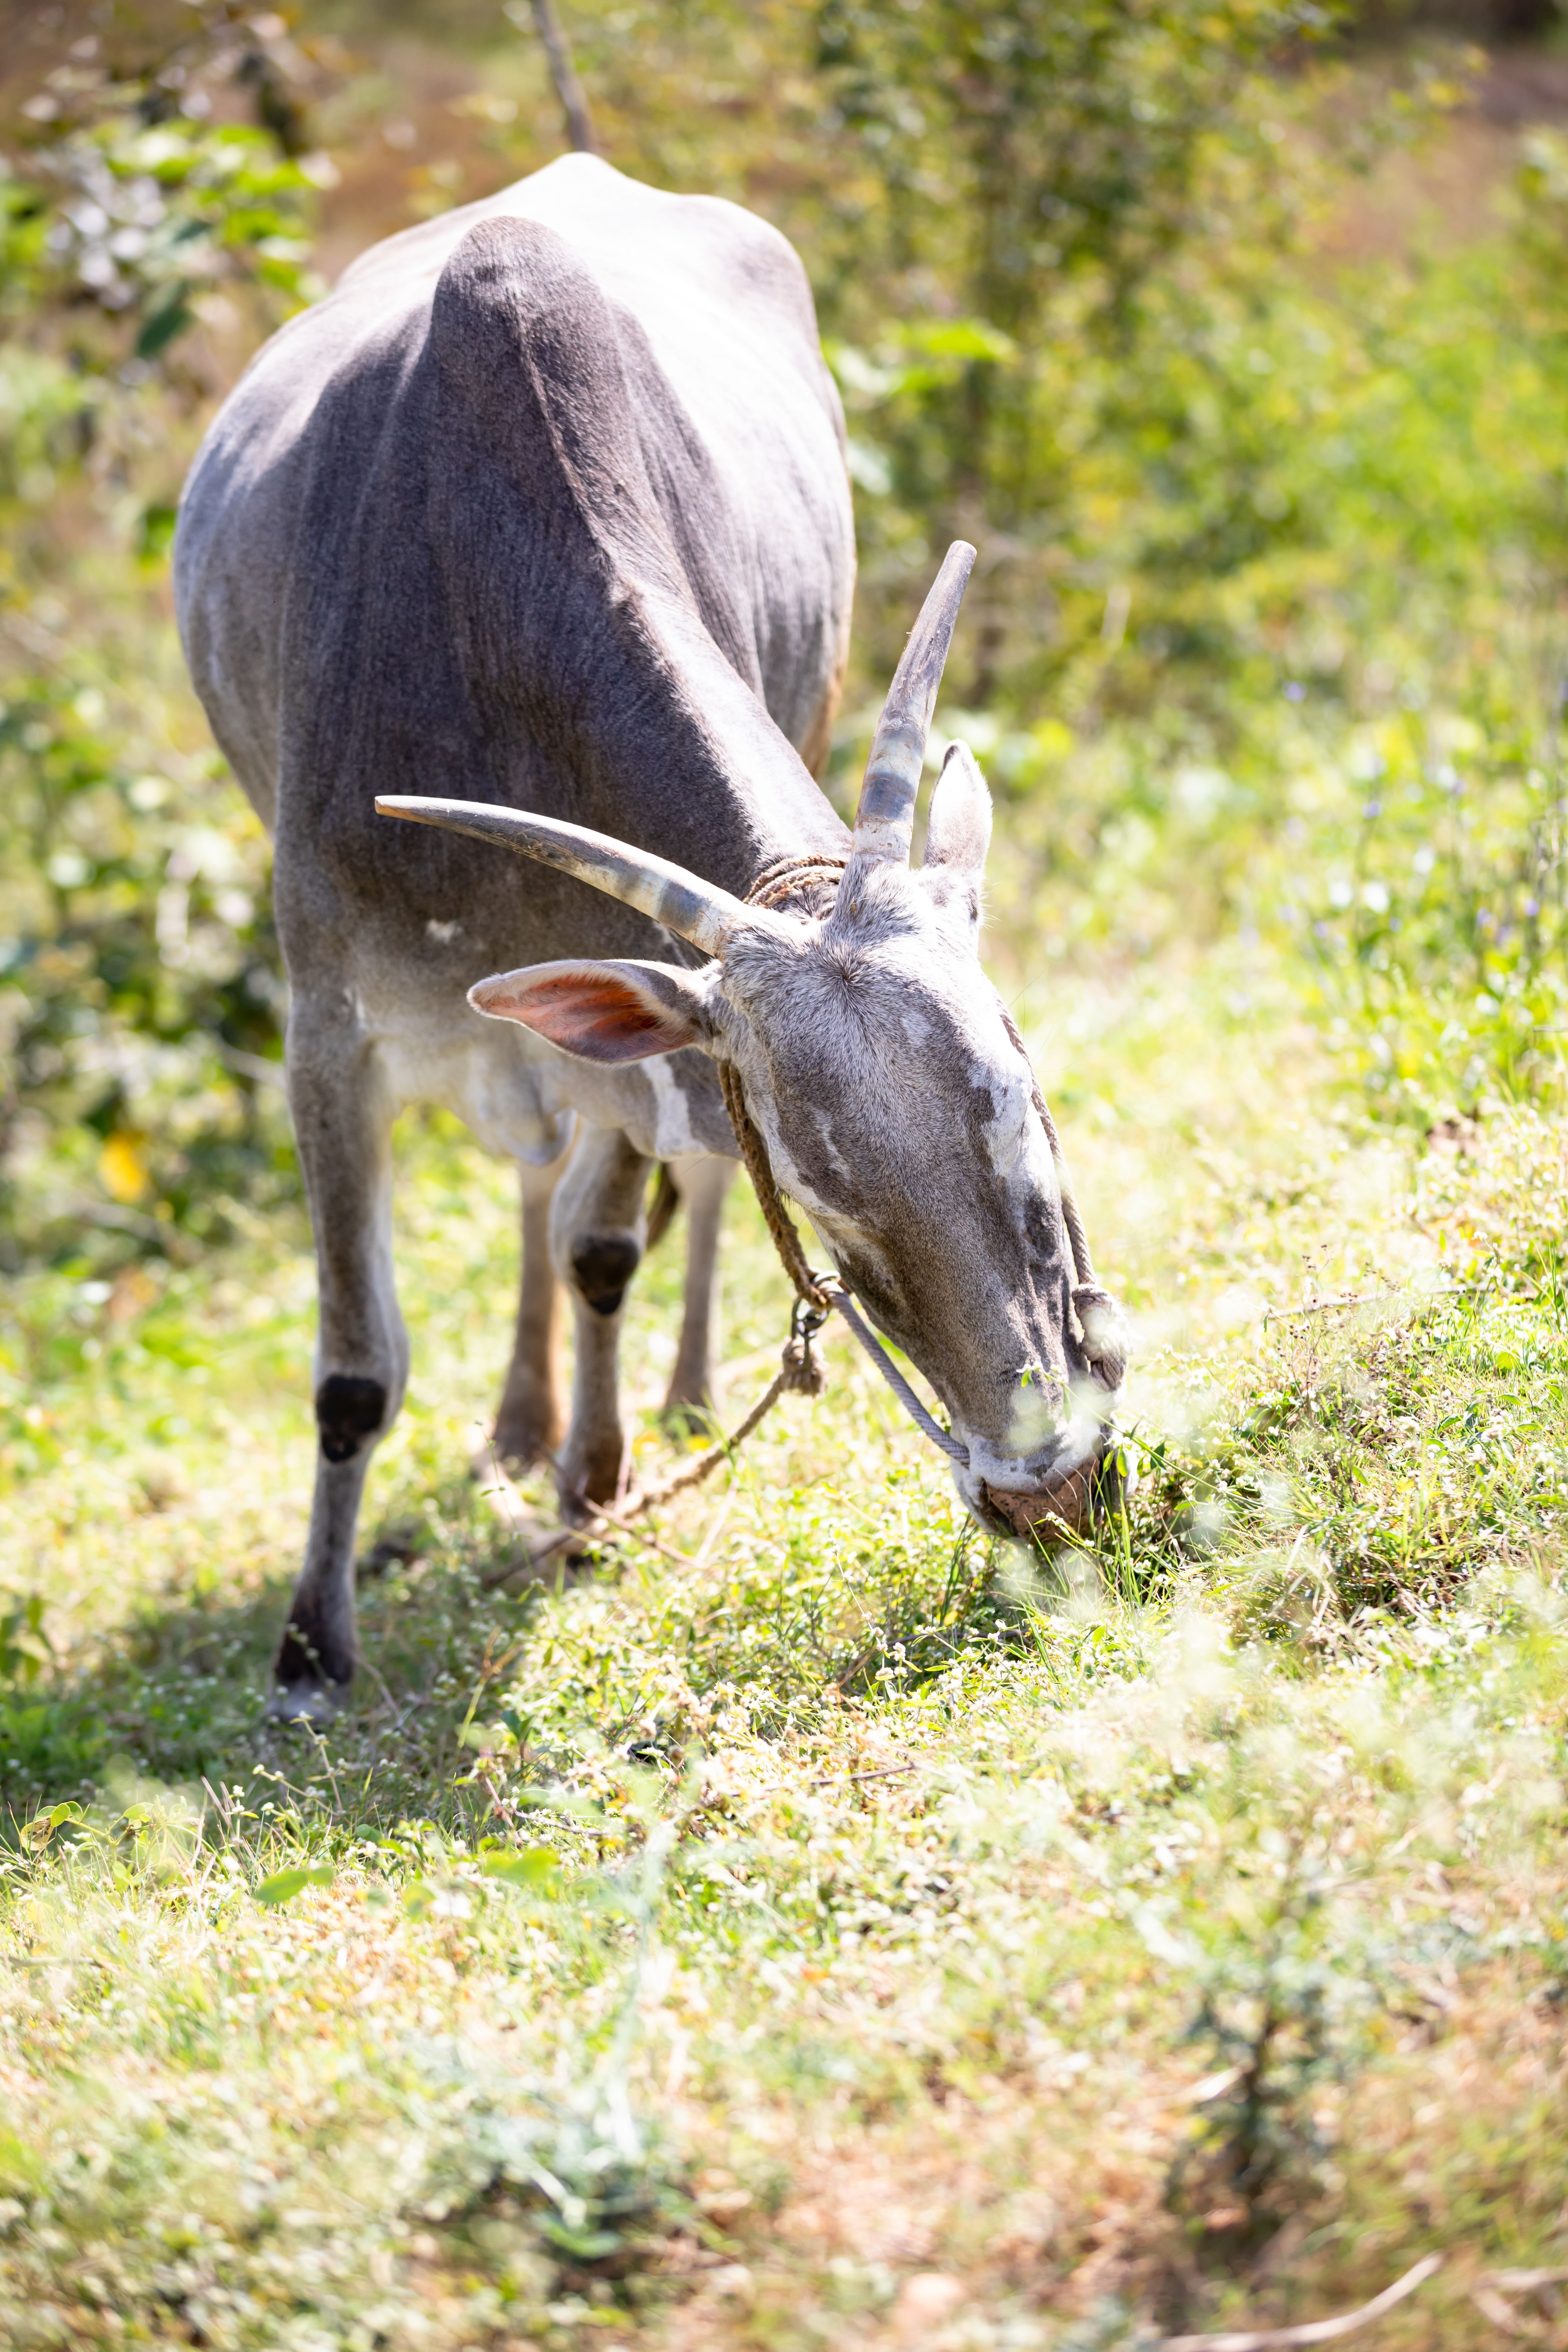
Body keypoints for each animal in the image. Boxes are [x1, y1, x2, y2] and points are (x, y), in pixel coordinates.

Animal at [175, 152, 1126, 1723]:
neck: (483, 618)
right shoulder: (330, 1027)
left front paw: (595, 1492)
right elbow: (356, 1369)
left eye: (1026, 1107)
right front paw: (313, 1651)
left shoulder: (651, 1025)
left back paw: (665, 1402)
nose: (1051, 1487)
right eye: (828, 1192)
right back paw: (519, 1418)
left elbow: (609, 1240)